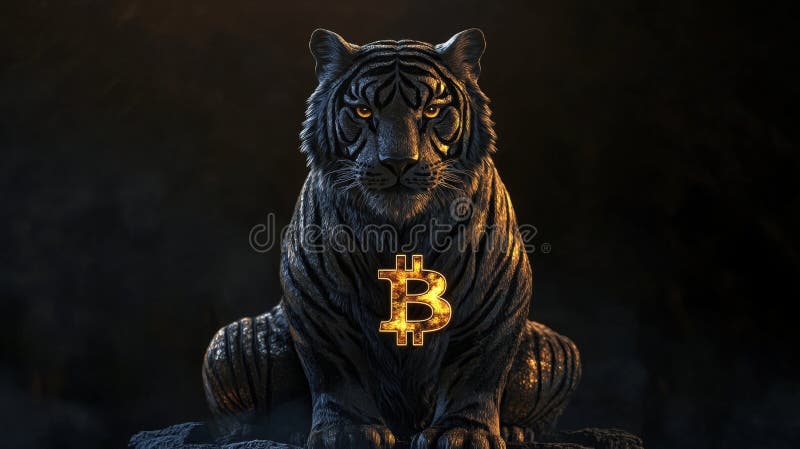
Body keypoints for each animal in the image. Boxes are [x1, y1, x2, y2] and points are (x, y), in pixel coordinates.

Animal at [202, 29, 581, 449]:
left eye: (431, 111)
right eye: (364, 112)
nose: (398, 162)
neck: (399, 230)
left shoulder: (494, 297)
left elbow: (477, 372)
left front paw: (463, 433)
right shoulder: (318, 300)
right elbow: (336, 370)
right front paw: (345, 432)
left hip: (557, 349)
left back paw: (516, 431)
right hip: (232, 343)